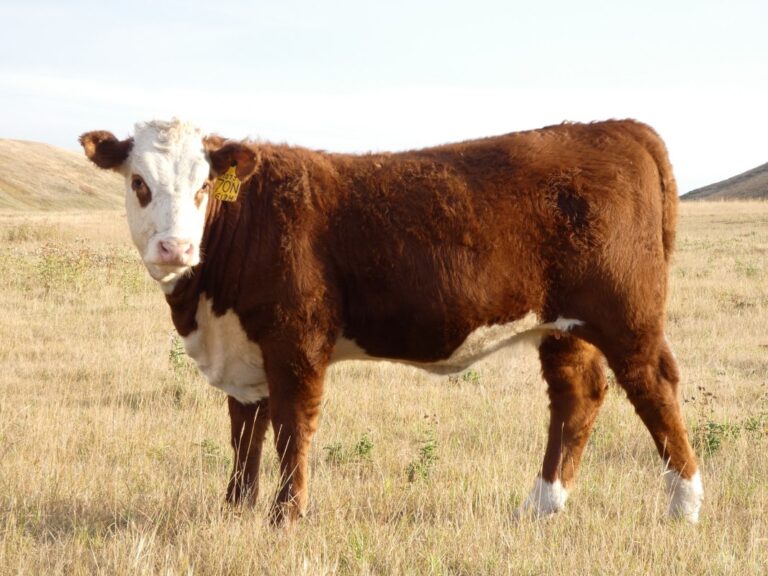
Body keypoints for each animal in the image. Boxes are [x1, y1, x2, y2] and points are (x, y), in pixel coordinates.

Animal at [80, 118, 703, 525]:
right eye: (139, 183)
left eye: (204, 186)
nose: (176, 247)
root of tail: (619, 128)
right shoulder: (241, 347)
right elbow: (243, 431)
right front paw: (235, 508)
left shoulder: (296, 341)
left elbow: (291, 427)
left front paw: (286, 517)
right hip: (563, 327)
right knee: (578, 396)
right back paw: (541, 507)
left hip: (627, 316)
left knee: (654, 386)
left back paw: (685, 504)